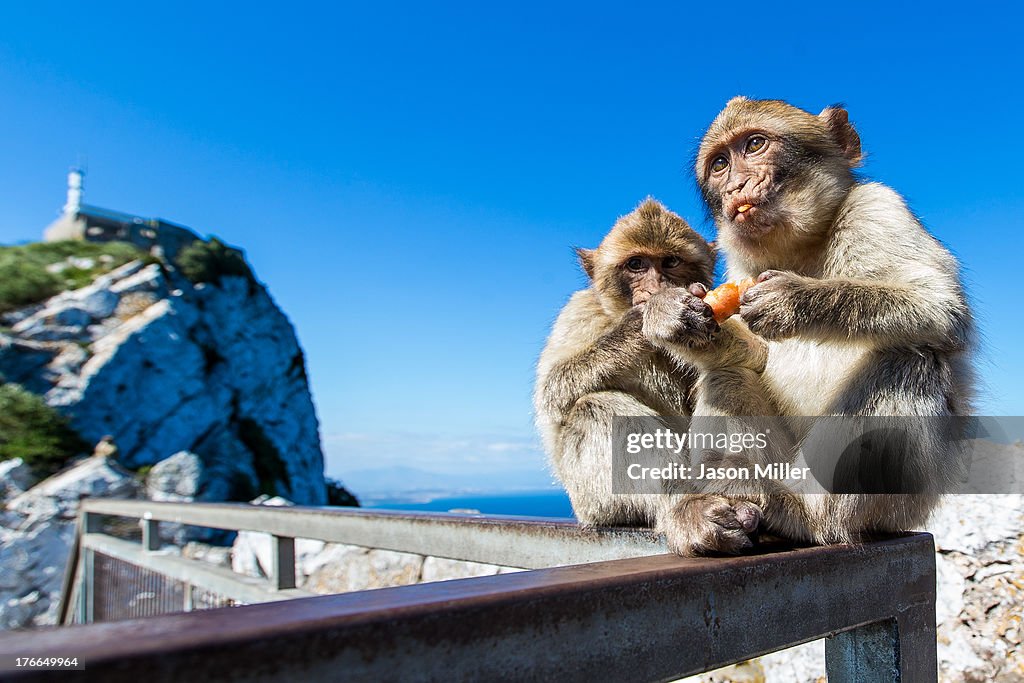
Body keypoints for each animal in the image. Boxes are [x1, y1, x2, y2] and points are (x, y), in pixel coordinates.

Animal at [534, 198, 719, 530]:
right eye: (636, 264)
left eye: (671, 261)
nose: (657, 286)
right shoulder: (580, 311)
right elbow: (552, 392)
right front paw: (654, 314)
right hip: (594, 502)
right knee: (594, 406)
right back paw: (683, 503)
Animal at [640, 97, 975, 555]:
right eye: (720, 164)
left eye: (755, 144)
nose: (735, 188)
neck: (801, 247)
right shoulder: (741, 263)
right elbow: (753, 352)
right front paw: (668, 312)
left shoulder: (880, 207)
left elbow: (941, 307)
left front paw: (793, 300)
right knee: (726, 375)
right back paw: (714, 511)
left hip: (903, 501)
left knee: (907, 359)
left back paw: (801, 514)